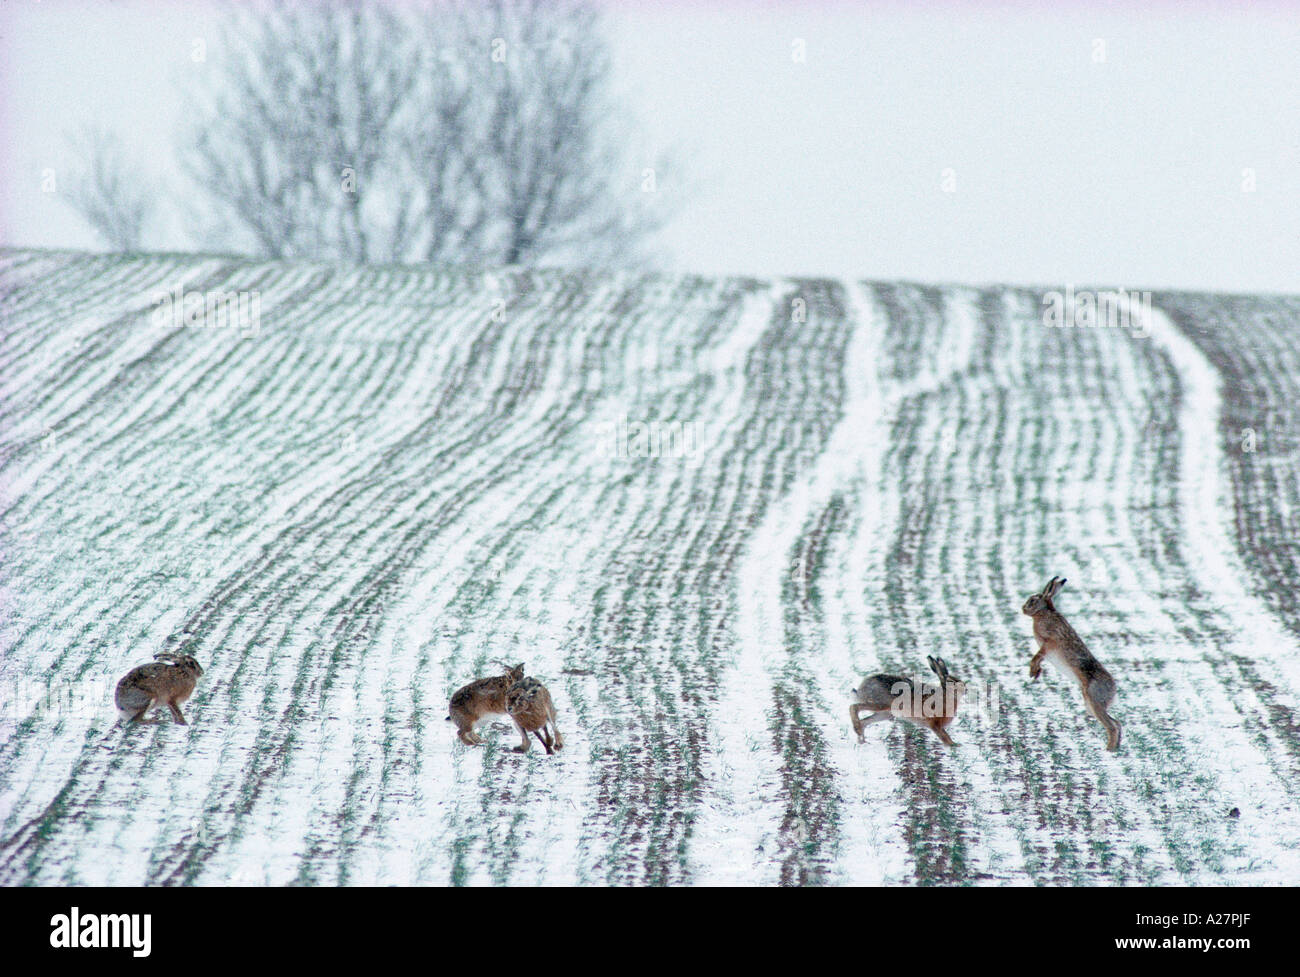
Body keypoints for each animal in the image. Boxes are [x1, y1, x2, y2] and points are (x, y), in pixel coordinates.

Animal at [1023, 576, 1122, 751]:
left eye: (1032, 600)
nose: (1023, 608)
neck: (1043, 613)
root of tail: (1113, 690)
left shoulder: (1049, 642)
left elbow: (1037, 656)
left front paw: (1032, 671)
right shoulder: (1047, 650)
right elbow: (1040, 658)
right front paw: (1036, 673)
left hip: (1094, 701)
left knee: (1112, 726)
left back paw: (1109, 751)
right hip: (1091, 705)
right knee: (1117, 723)